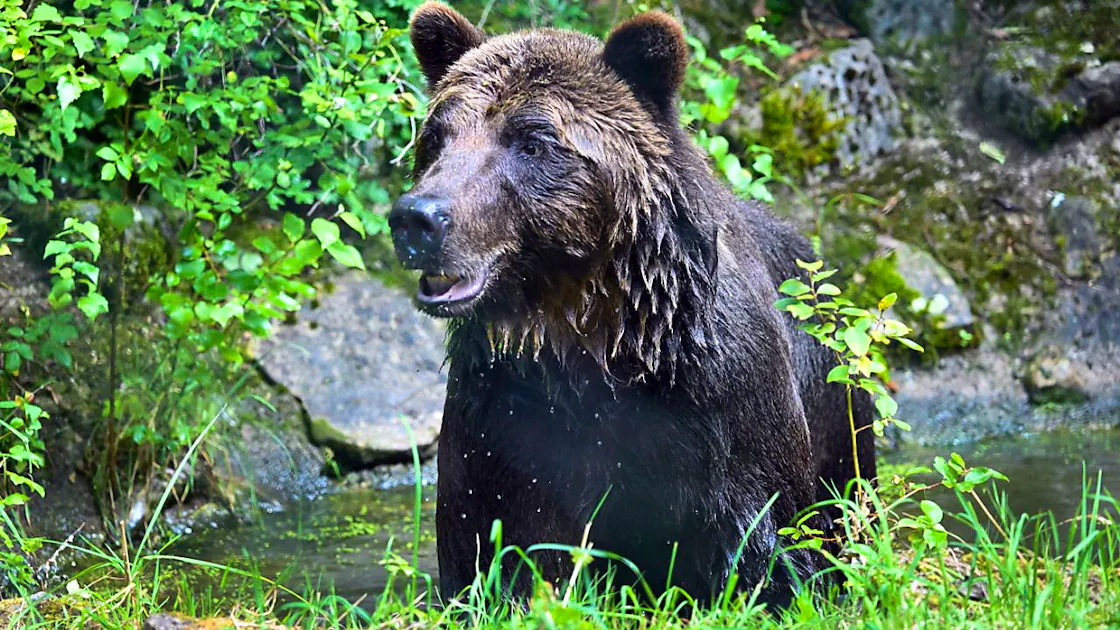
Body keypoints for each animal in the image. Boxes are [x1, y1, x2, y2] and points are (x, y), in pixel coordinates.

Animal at [389, 2, 876, 608]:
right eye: (437, 136)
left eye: (532, 140)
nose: (418, 218)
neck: (598, 333)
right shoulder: (504, 413)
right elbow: (498, 546)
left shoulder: (724, 400)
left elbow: (767, 533)